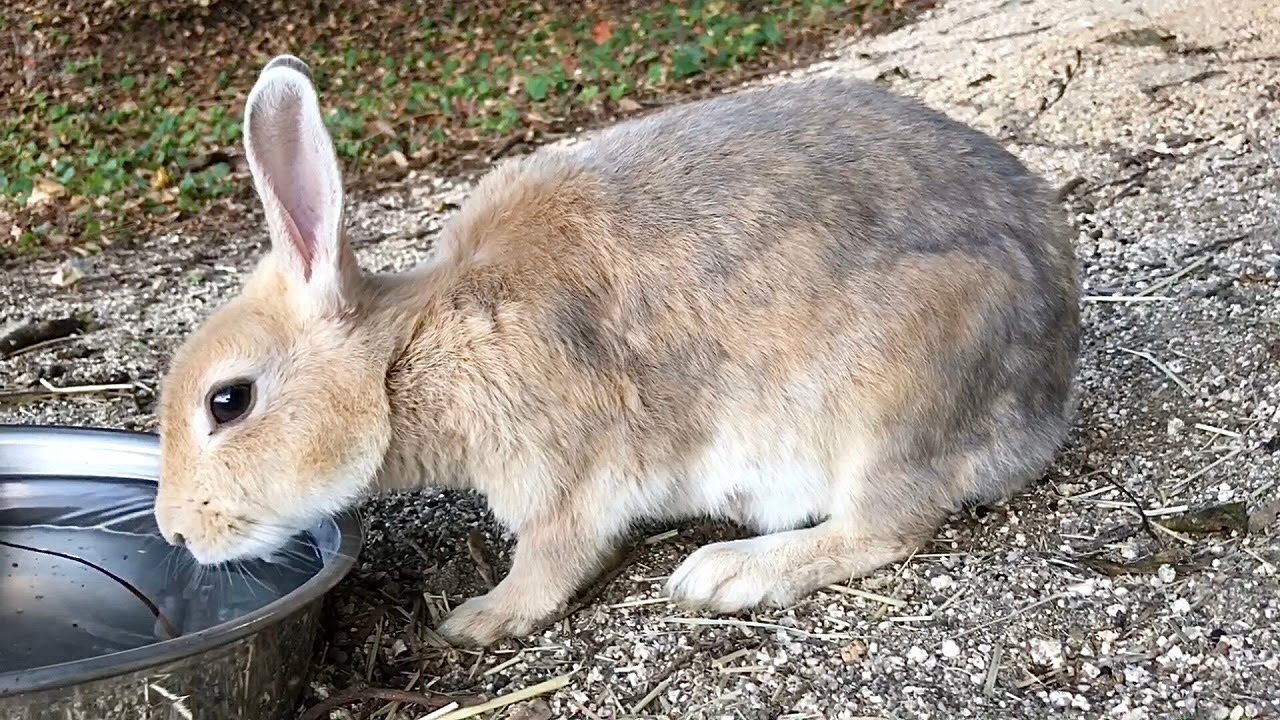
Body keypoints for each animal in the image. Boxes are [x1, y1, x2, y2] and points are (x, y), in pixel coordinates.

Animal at [153, 54, 1081, 647]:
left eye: (228, 401)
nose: (173, 531)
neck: (405, 356)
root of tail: (1051, 385)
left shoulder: (567, 477)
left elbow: (554, 560)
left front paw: (477, 619)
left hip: (892, 399)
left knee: (885, 527)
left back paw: (724, 574)